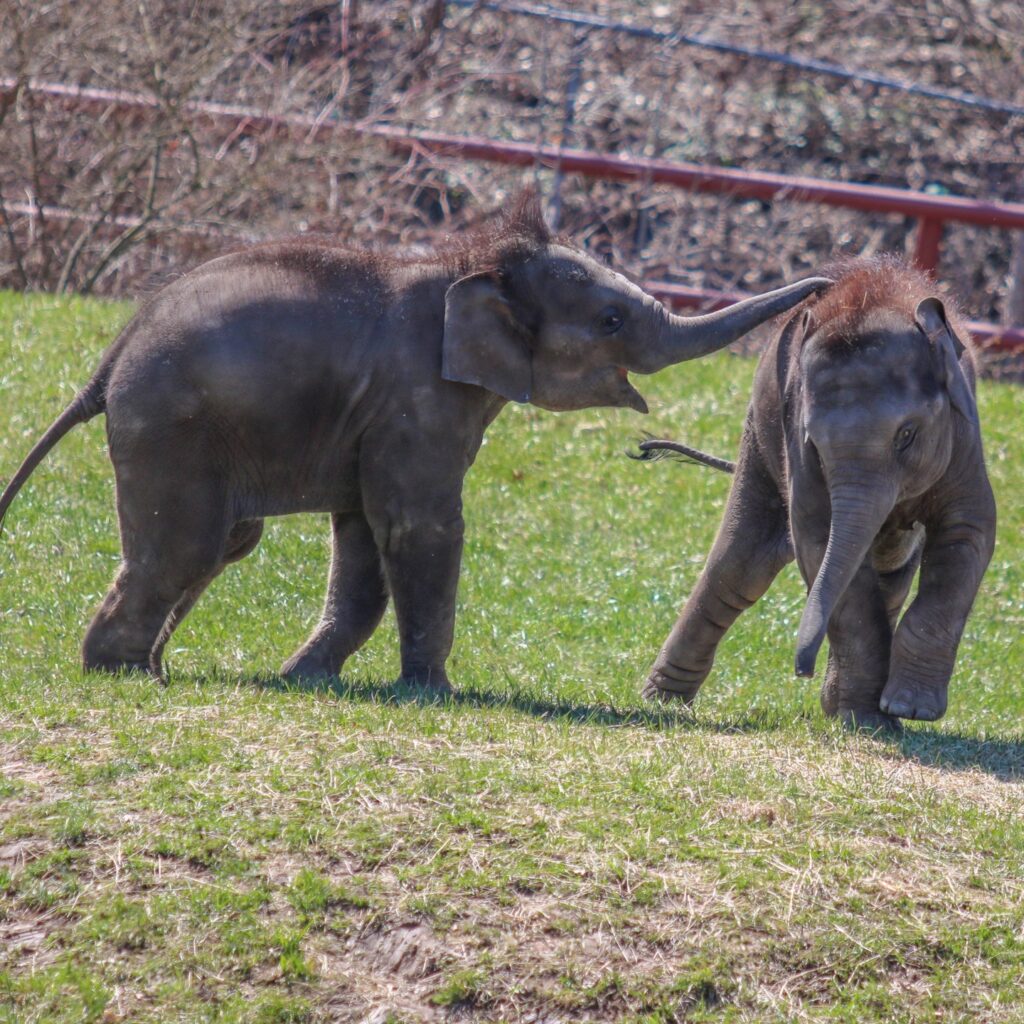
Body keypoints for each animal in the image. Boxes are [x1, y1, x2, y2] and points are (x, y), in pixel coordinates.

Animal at [0, 192, 830, 690]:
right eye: (611, 320)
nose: (823, 285)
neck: (469, 267)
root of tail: (113, 353)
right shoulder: (415, 399)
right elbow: (421, 524)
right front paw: (434, 692)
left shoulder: (378, 417)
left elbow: (366, 538)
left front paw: (305, 680)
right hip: (174, 423)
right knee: (190, 545)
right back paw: (120, 673)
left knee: (223, 544)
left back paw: (148, 666)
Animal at [637, 256, 996, 730]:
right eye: (815, 446)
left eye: (906, 435)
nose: (799, 670)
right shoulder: (796, 443)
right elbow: (818, 540)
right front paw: (867, 720)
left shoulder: (964, 438)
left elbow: (967, 534)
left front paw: (907, 709)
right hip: (760, 437)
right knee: (739, 567)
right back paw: (662, 701)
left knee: (892, 571)